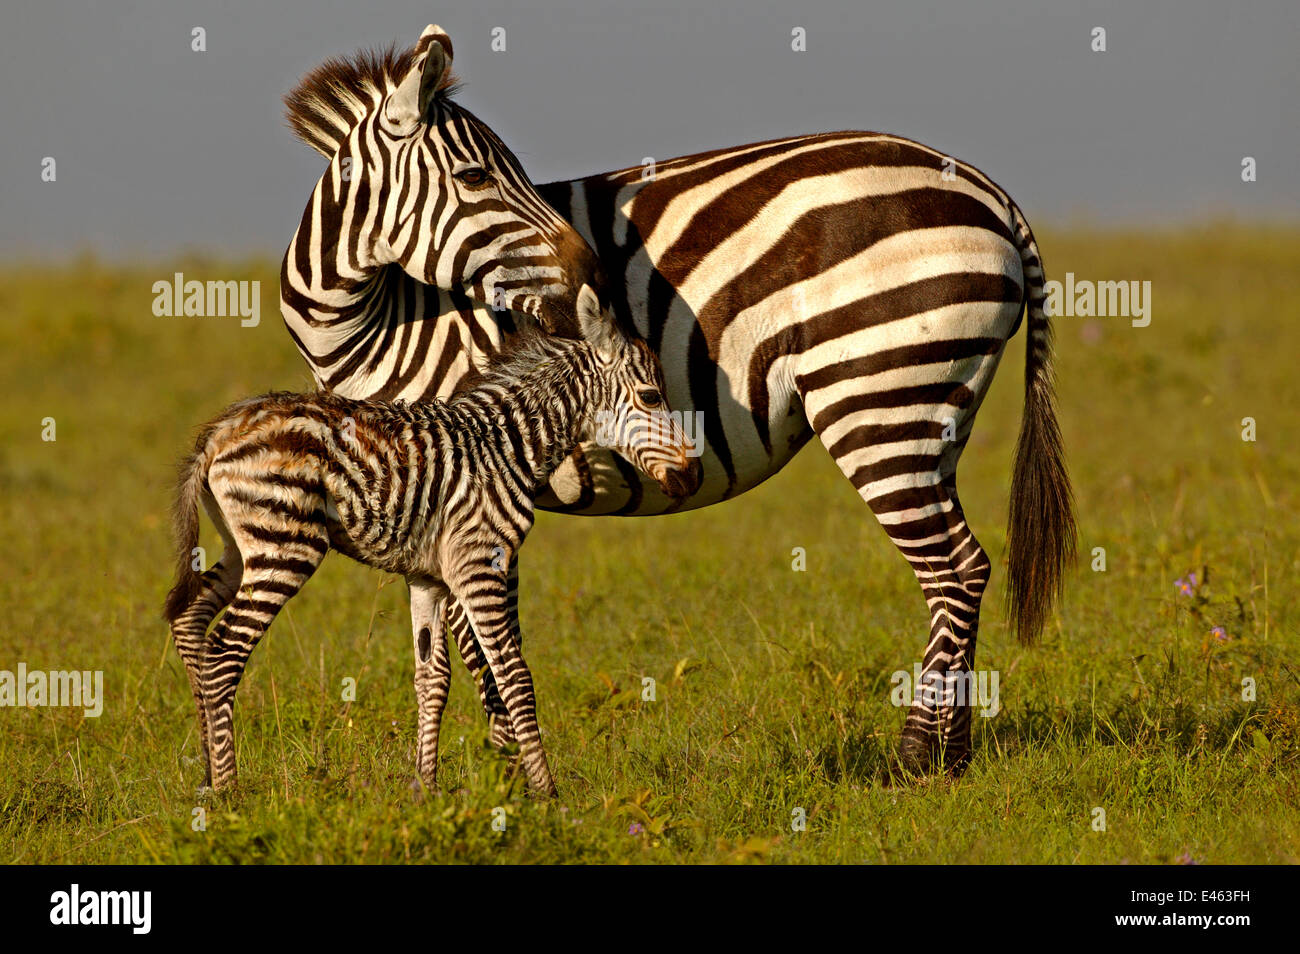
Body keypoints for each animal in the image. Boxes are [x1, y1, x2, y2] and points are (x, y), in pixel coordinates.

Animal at [164, 285, 701, 794]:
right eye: (651, 397)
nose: (693, 478)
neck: (506, 447)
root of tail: (219, 432)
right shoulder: (479, 562)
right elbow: (513, 674)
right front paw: (546, 791)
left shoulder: (428, 578)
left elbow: (432, 678)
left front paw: (425, 786)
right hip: (284, 544)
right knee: (224, 654)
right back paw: (230, 791)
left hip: (241, 545)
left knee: (191, 622)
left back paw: (209, 775)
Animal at [281, 29, 1076, 777]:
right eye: (476, 176)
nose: (595, 281)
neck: (380, 316)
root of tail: (990, 193)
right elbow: (461, 644)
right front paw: (500, 767)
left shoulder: (468, 473)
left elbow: (481, 641)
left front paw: (508, 769)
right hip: (934, 410)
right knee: (967, 567)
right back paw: (955, 754)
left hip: (878, 398)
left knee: (952, 569)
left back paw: (913, 758)